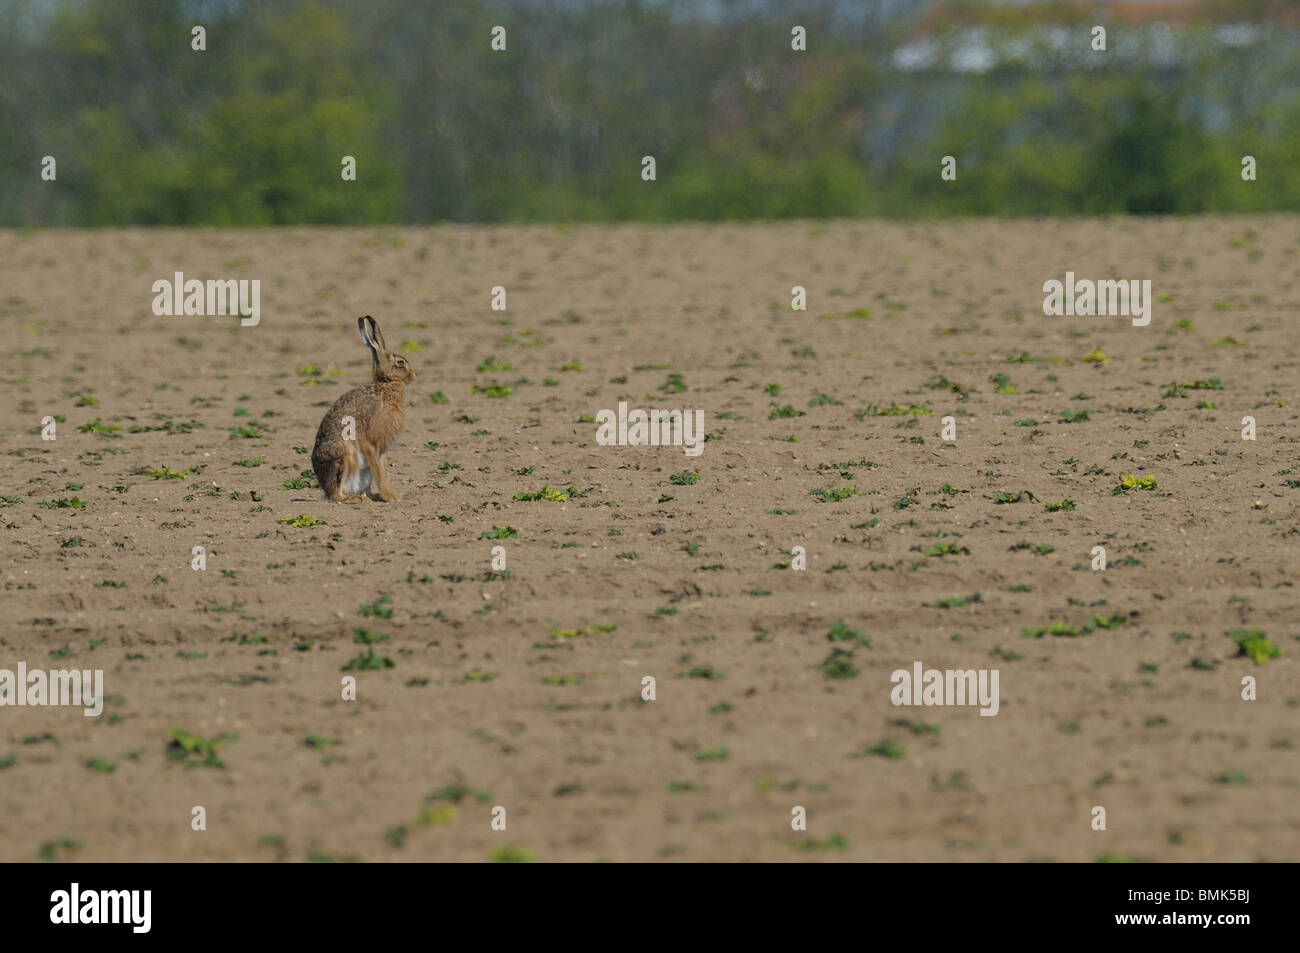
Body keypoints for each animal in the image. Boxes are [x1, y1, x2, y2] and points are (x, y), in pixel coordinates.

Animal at [311, 316, 416, 502]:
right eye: (400, 362)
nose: (414, 375)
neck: (385, 385)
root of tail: (324, 488)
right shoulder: (370, 441)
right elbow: (381, 473)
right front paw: (391, 498)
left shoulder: (381, 448)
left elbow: (384, 472)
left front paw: (393, 496)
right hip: (344, 456)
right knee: (336, 496)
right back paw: (354, 498)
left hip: (364, 472)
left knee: (365, 488)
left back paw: (370, 497)